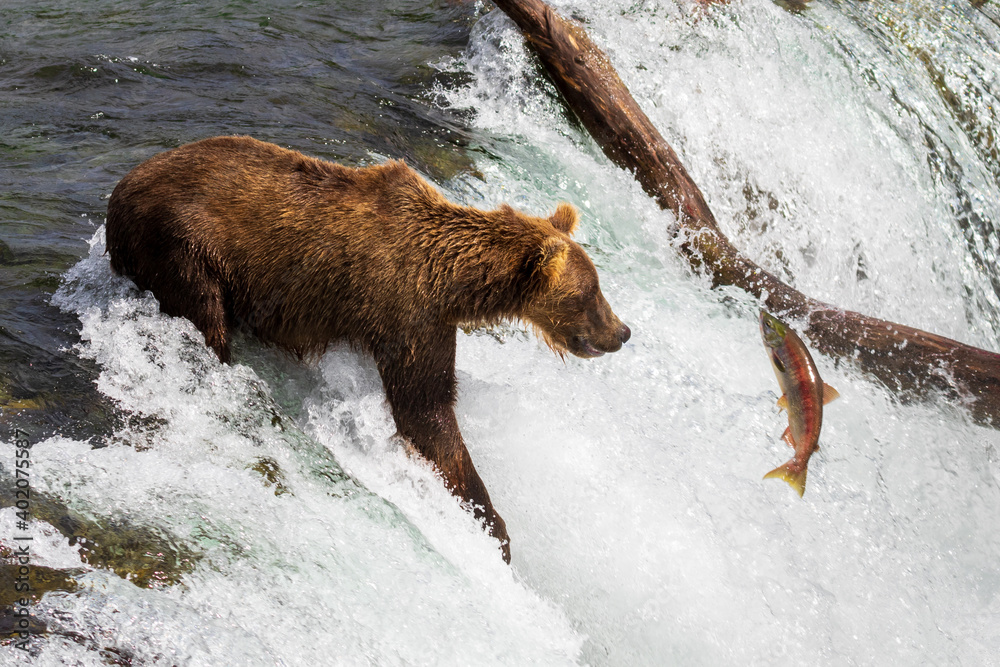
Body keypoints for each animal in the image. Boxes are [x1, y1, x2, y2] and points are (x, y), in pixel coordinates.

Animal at [105, 136, 630, 562]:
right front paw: (493, 527)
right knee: (205, 317)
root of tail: (120, 191)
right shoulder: (410, 314)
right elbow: (426, 411)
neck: (453, 282)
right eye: (588, 294)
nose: (622, 331)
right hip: (183, 246)